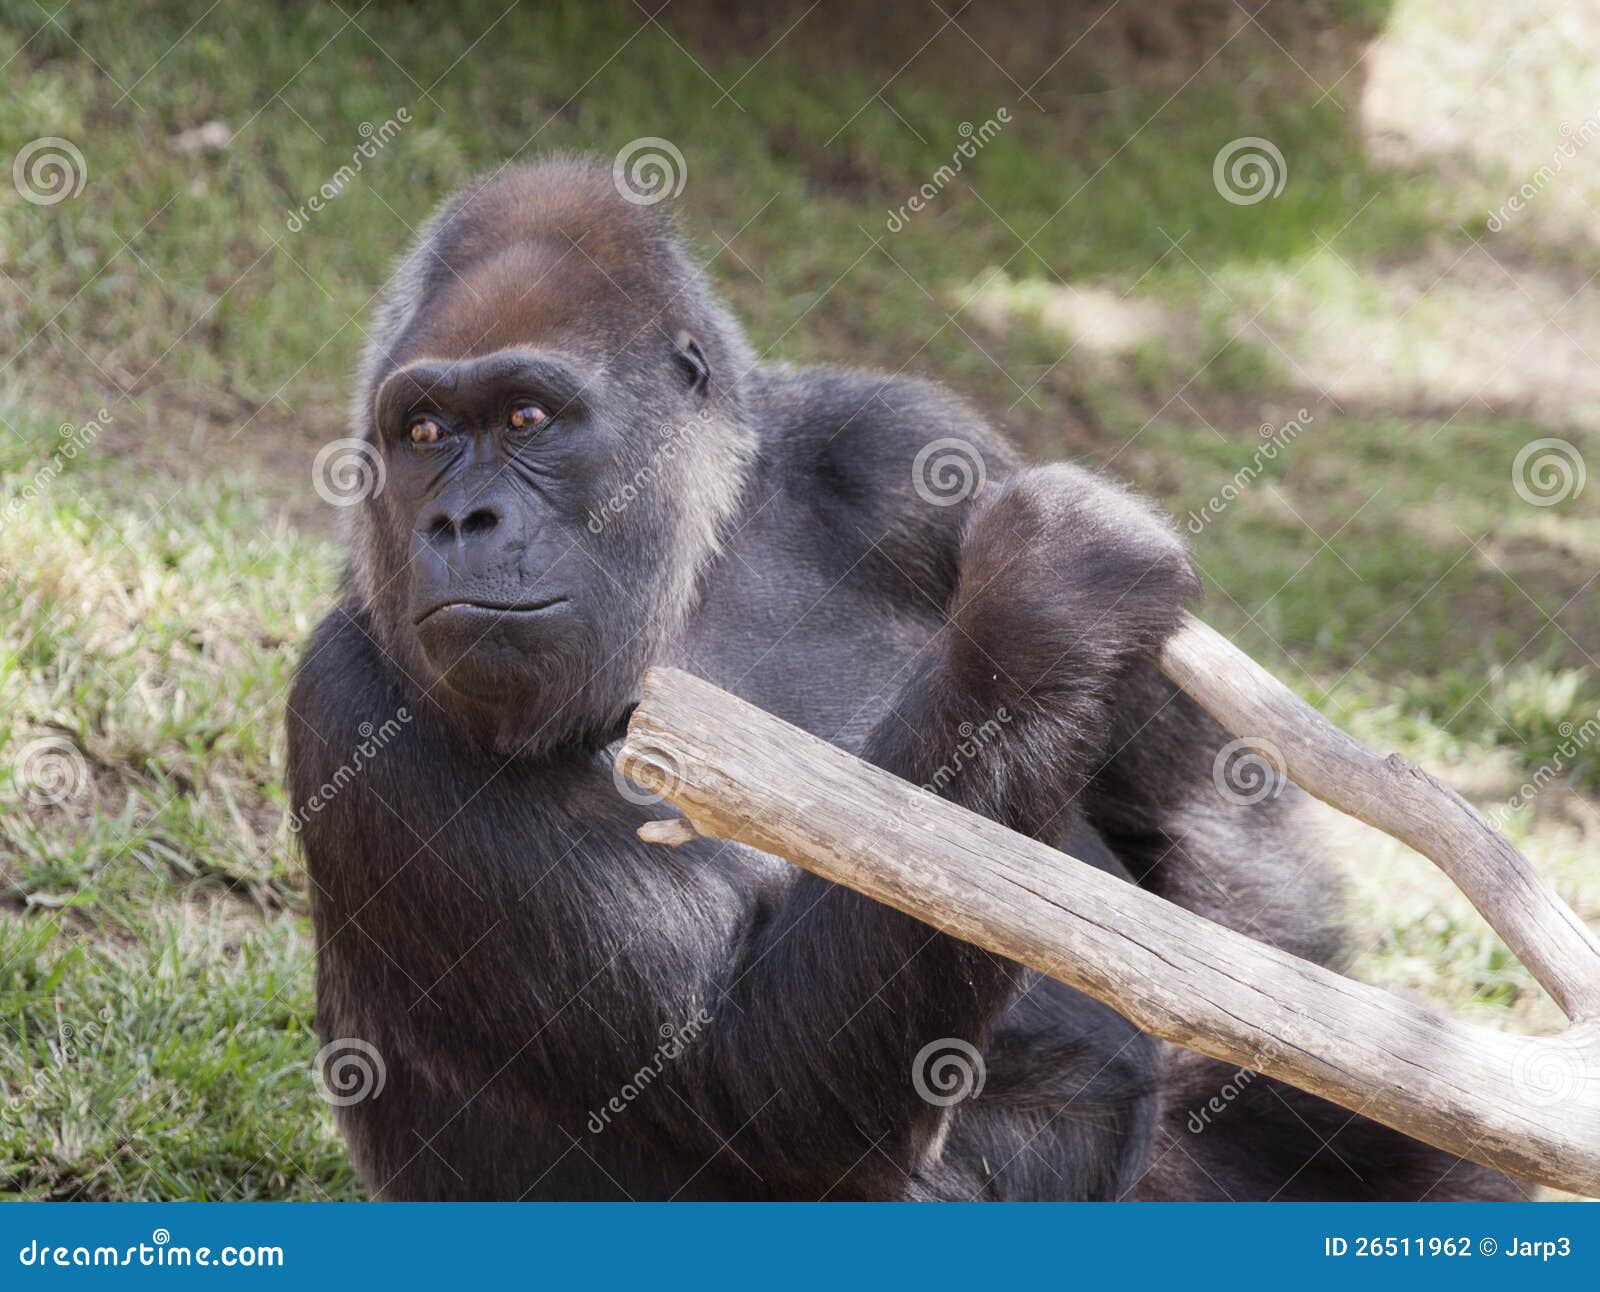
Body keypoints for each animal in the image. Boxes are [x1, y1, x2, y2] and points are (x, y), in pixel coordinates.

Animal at [285, 155, 1518, 1201]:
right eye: (423, 431)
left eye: (527, 416)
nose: (457, 521)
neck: (692, 565)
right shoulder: (349, 705)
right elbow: (754, 1083)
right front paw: (1041, 608)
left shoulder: (908, 449)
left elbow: (1203, 839)